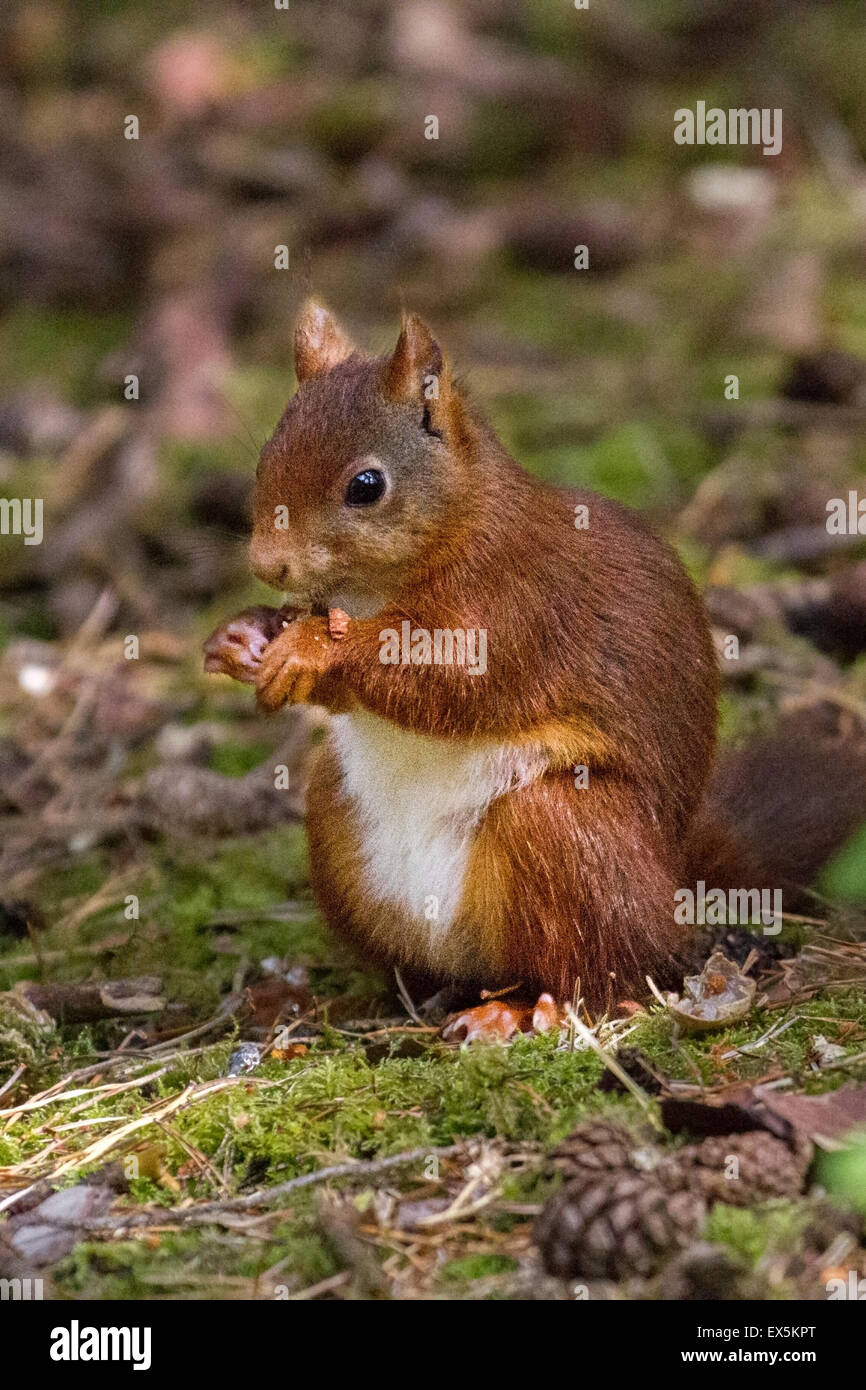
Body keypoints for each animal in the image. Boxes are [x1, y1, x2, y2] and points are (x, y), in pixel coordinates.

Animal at [203, 301, 866, 1034]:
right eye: (264, 461)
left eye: (366, 486)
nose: (267, 564)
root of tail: (672, 889)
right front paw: (245, 636)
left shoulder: (517, 606)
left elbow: (447, 682)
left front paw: (313, 648)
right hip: (334, 821)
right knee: (410, 972)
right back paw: (318, 999)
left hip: (562, 826)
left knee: (605, 971)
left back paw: (522, 1011)